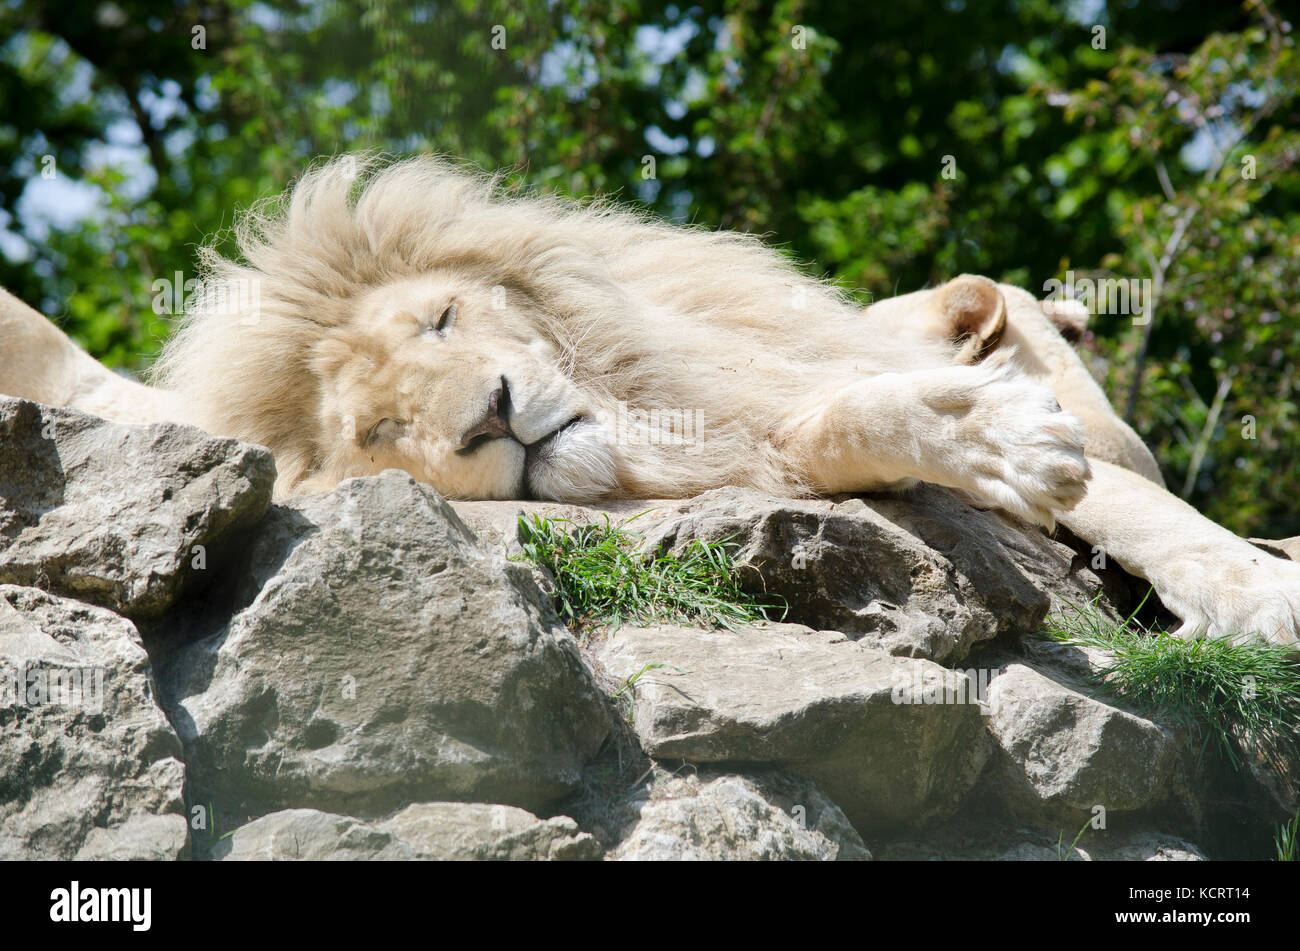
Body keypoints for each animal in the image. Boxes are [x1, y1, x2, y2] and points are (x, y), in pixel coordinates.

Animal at [2, 154, 1297, 646]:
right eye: (381, 432)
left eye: (443, 321)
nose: (491, 413)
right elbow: (850, 429)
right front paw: (982, 438)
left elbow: (1137, 499)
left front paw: (1255, 587)